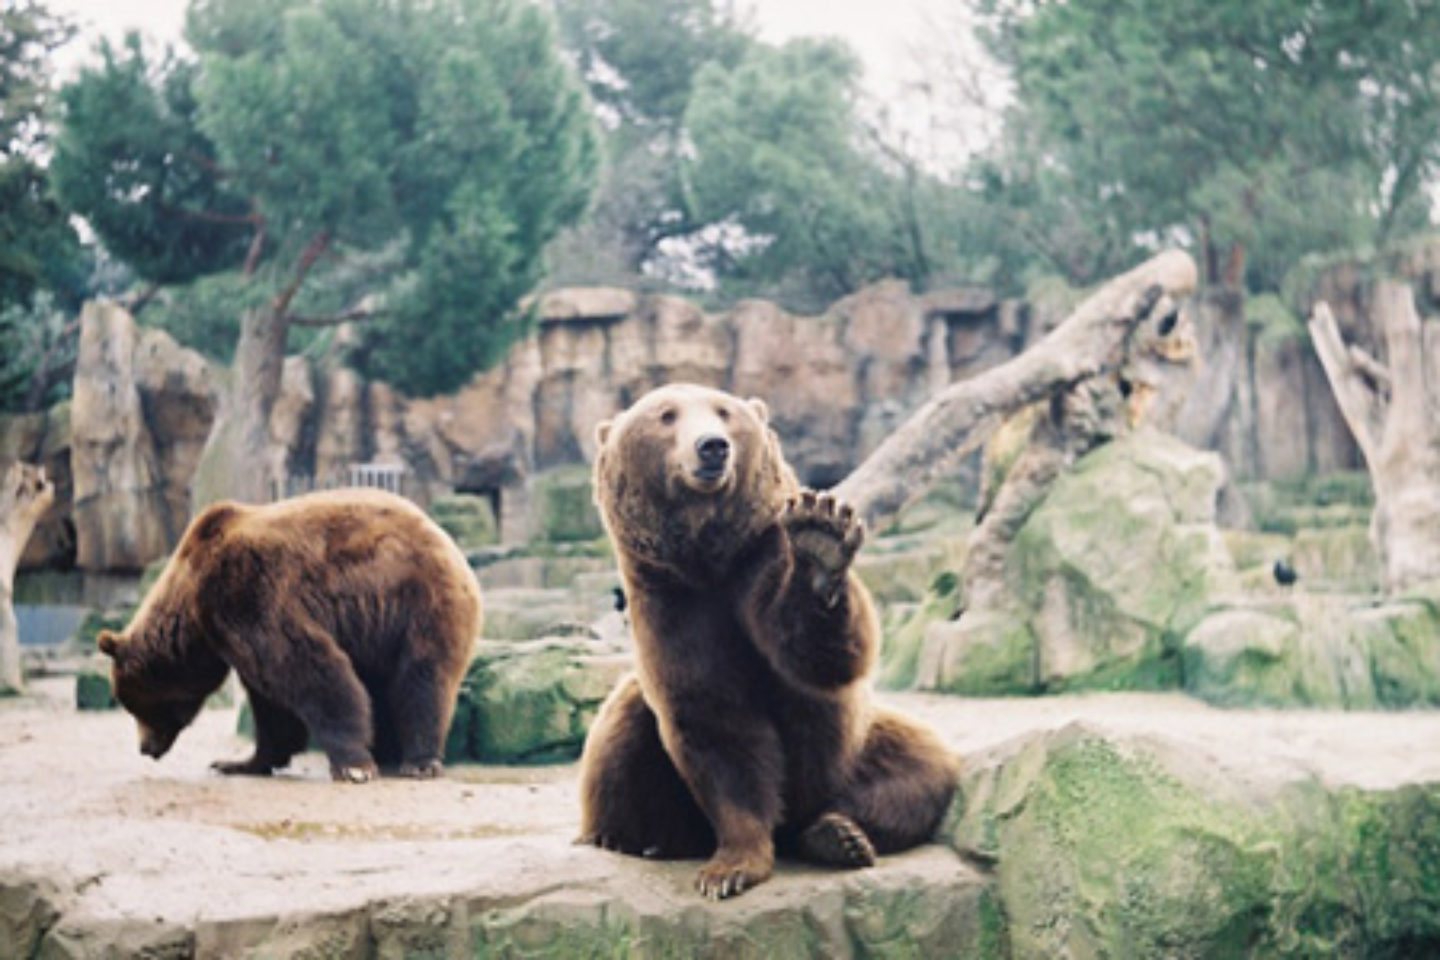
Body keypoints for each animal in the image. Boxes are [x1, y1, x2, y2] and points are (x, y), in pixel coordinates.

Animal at [97, 488, 481, 783]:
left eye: (136, 705)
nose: (145, 748)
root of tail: (447, 541)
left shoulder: (245, 591)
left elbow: (306, 667)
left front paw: (352, 765)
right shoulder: (235, 633)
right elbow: (270, 703)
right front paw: (239, 762)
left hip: (418, 601)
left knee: (421, 678)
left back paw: (418, 761)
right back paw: (388, 751)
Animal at [577, 383, 959, 899]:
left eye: (724, 411)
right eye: (666, 415)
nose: (712, 446)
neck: (709, 559)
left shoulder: (762, 559)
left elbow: (818, 657)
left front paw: (821, 539)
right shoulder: (672, 604)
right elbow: (715, 724)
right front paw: (729, 870)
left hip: (855, 754)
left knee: (921, 768)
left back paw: (837, 835)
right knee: (621, 732)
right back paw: (623, 837)